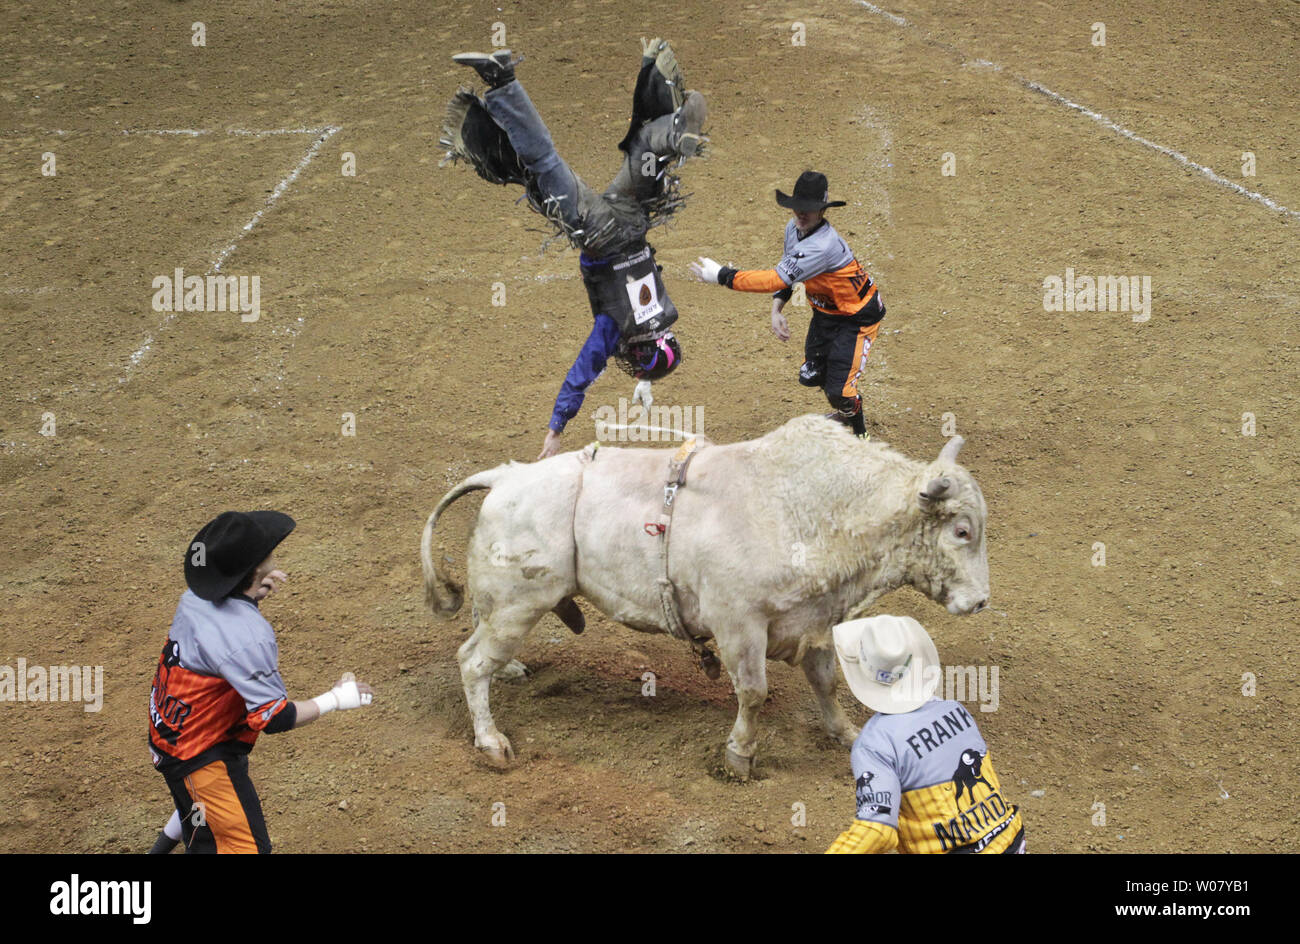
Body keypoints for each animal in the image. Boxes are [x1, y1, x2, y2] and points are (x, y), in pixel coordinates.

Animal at [421, 414, 989, 778]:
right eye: (961, 531)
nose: (980, 601)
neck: (806, 507)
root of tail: (506, 475)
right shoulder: (739, 624)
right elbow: (753, 692)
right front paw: (740, 756)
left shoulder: (813, 620)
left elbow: (825, 681)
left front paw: (845, 733)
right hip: (518, 605)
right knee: (471, 661)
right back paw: (491, 742)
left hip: (505, 606)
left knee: (481, 643)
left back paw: (510, 673)